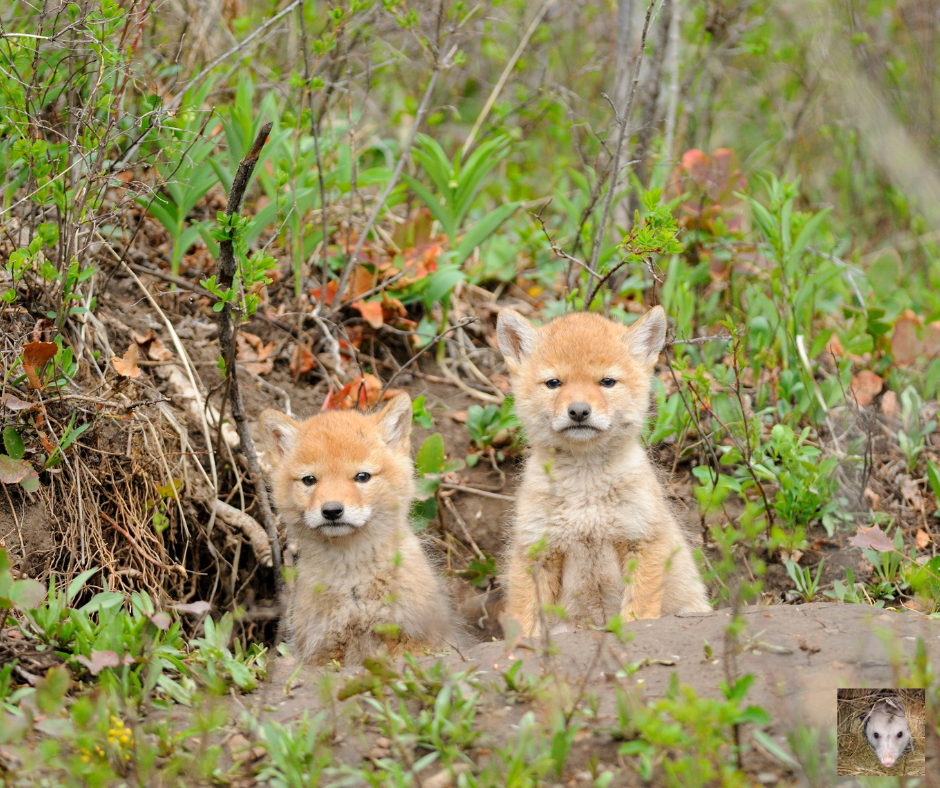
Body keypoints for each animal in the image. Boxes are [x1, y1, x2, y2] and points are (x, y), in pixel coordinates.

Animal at [258, 393, 452, 665]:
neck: (352, 582)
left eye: (362, 476)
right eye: (309, 480)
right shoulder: (323, 651)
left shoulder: (411, 641)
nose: (331, 511)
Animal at [496, 305, 711, 637]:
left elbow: (639, 611)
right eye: (554, 383)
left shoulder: (643, 539)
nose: (579, 411)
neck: (586, 493)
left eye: (607, 382)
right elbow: (527, 618)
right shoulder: (535, 550)